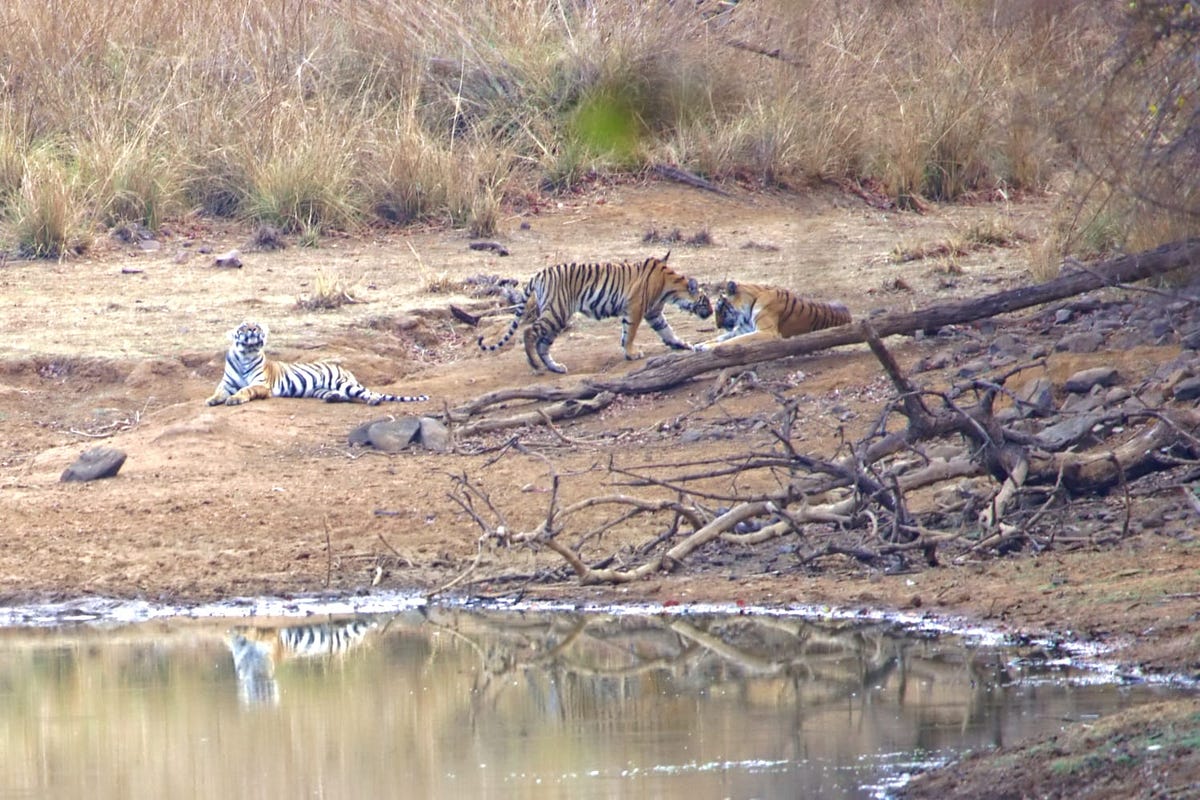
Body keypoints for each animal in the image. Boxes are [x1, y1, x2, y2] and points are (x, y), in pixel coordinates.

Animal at [206, 321, 428, 406]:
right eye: (244, 326)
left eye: (257, 327)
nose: (253, 330)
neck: (246, 354)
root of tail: (344, 369)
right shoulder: (226, 383)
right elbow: (219, 391)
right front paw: (212, 399)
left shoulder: (262, 385)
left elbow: (246, 390)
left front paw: (234, 399)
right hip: (318, 389)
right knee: (345, 396)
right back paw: (332, 397)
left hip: (342, 382)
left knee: (368, 394)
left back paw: (373, 400)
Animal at [476, 252, 713, 374]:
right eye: (706, 300)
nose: (711, 312)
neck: (670, 288)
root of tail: (540, 274)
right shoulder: (636, 309)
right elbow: (630, 333)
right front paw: (631, 353)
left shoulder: (654, 313)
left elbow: (667, 331)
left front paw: (683, 345)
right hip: (557, 312)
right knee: (530, 333)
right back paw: (535, 364)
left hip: (557, 316)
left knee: (543, 344)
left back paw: (555, 367)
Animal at [697, 280, 852, 349]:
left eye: (720, 309)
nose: (718, 326)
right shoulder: (743, 329)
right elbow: (721, 338)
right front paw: (699, 345)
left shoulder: (767, 332)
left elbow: (733, 341)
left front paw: (707, 347)